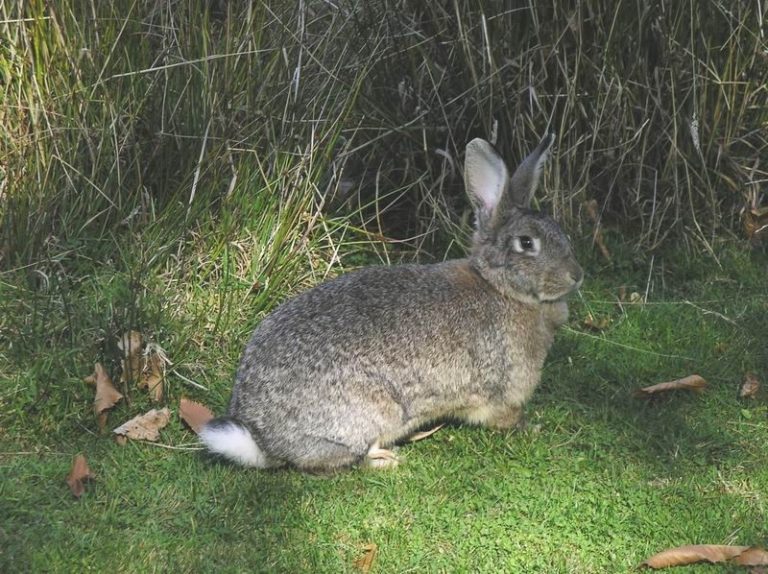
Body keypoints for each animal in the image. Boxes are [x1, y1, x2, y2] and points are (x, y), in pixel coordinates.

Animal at [200, 133, 583, 472]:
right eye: (526, 243)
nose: (576, 276)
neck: (501, 287)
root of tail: (264, 441)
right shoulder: (502, 390)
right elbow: (505, 416)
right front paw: (533, 427)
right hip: (374, 411)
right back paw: (384, 460)